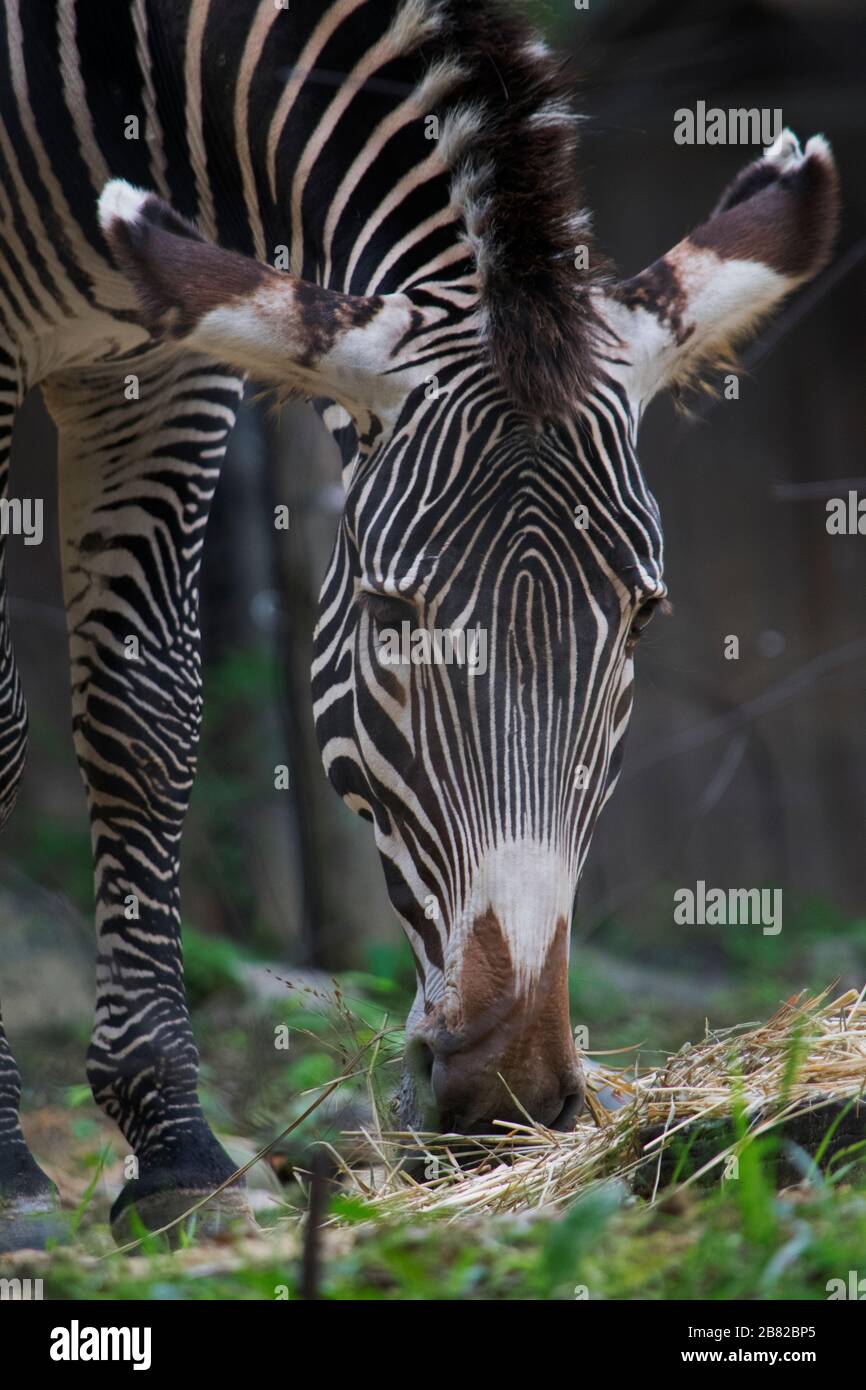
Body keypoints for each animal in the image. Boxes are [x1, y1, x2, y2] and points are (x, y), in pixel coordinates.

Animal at [0, 0, 839, 1250]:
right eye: (392, 613)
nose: (509, 1097)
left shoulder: (162, 366)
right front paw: (12, 1162)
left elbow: (144, 716)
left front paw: (178, 1154)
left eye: (641, 620)